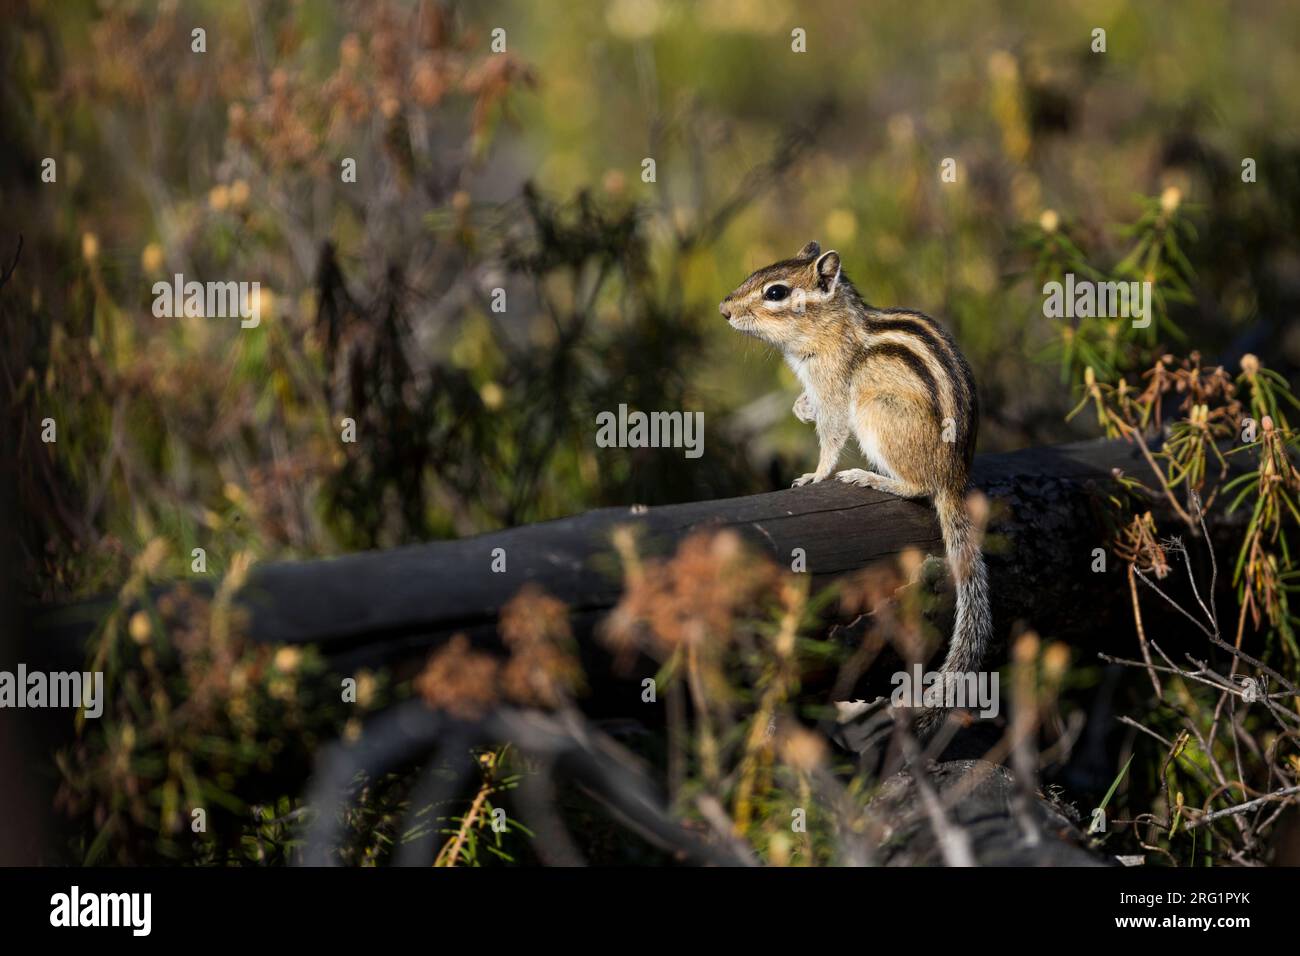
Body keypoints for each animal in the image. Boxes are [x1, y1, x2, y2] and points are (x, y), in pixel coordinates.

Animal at [720, 240, 990, 741]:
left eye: (776, 292)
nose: (724, 310)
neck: (834, 327)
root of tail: (955, 479)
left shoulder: (832, 388)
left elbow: (830, 435)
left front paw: (816, 475)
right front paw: (798, 407)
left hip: (876, 412)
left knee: (919, 487)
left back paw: (871, 477)